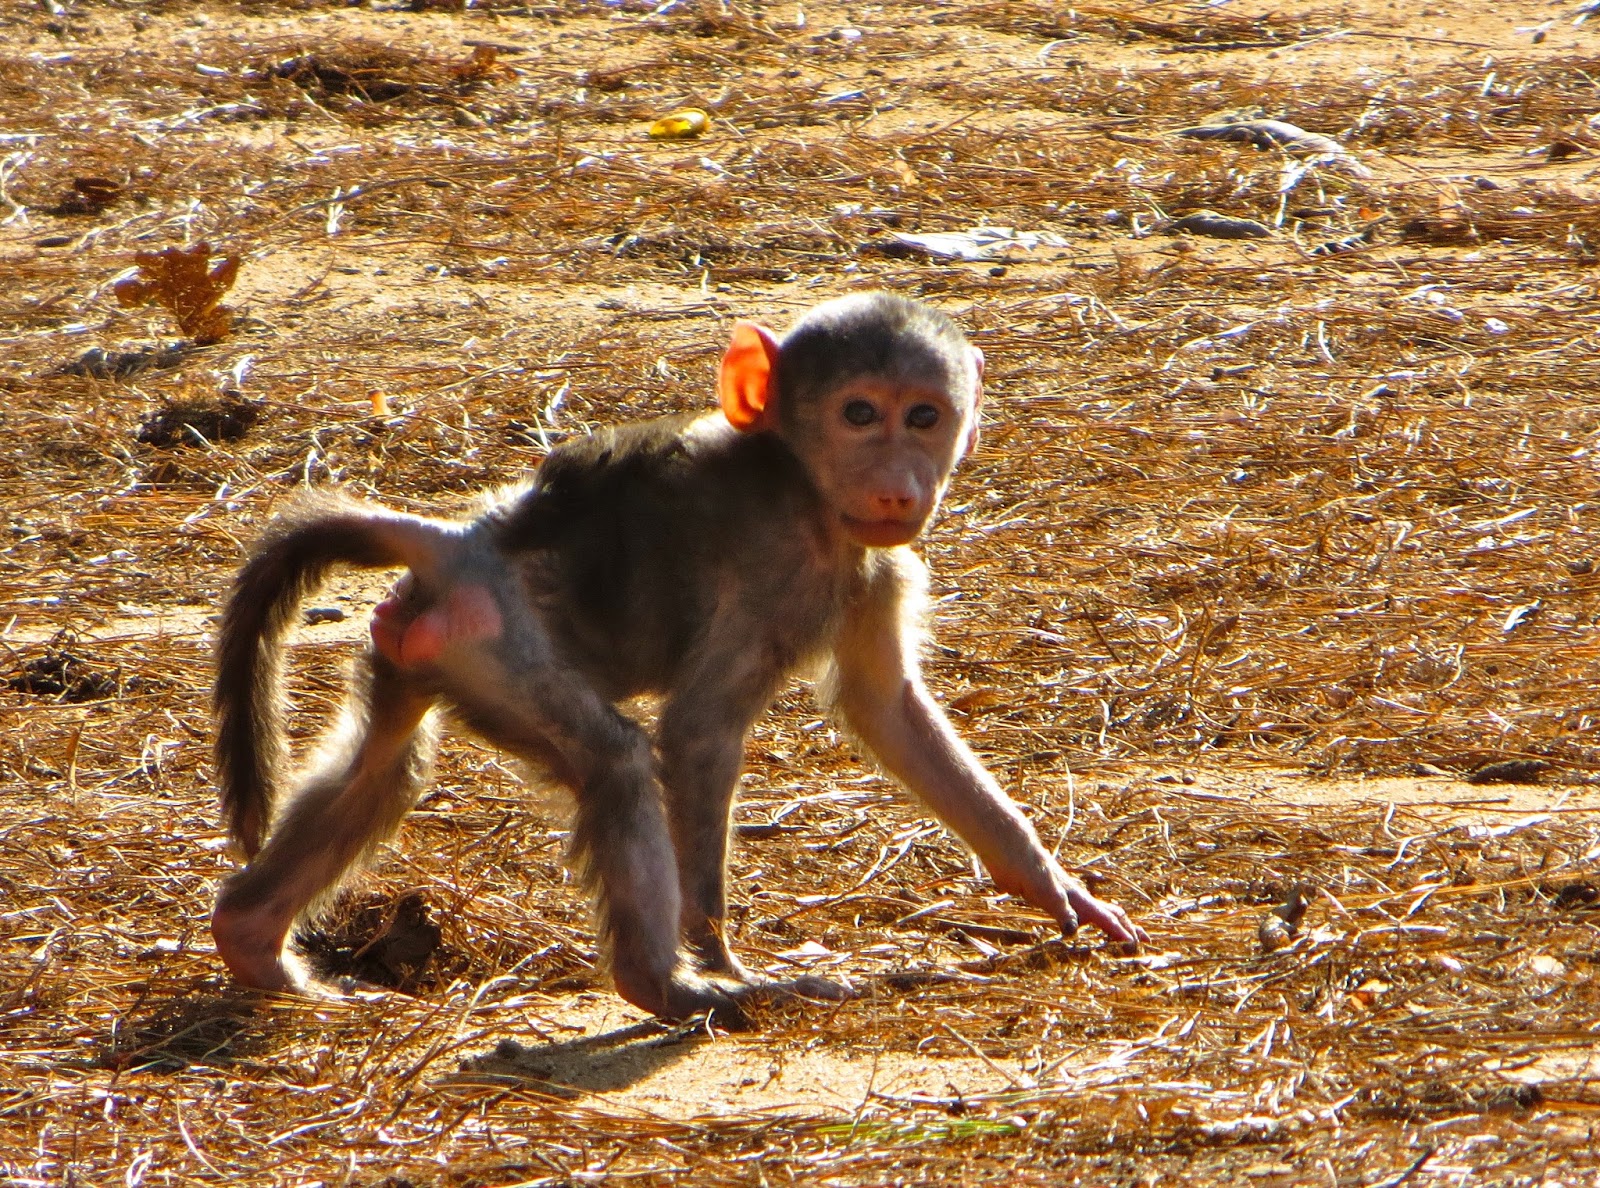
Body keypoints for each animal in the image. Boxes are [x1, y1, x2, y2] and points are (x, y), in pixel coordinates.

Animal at [211, 292, 1146, 1020]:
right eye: (859, 414)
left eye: (923, 416)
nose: (896, 483)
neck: (800, 484)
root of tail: (458, 544)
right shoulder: (772, 568)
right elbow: (698, 731)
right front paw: (720, 953)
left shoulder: (875, 569)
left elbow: (889, 712)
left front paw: (1049, 884)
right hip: (494, 638)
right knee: (616, 760)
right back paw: (669, 986)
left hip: (413, 645)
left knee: (388, 766)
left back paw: (250, 940)